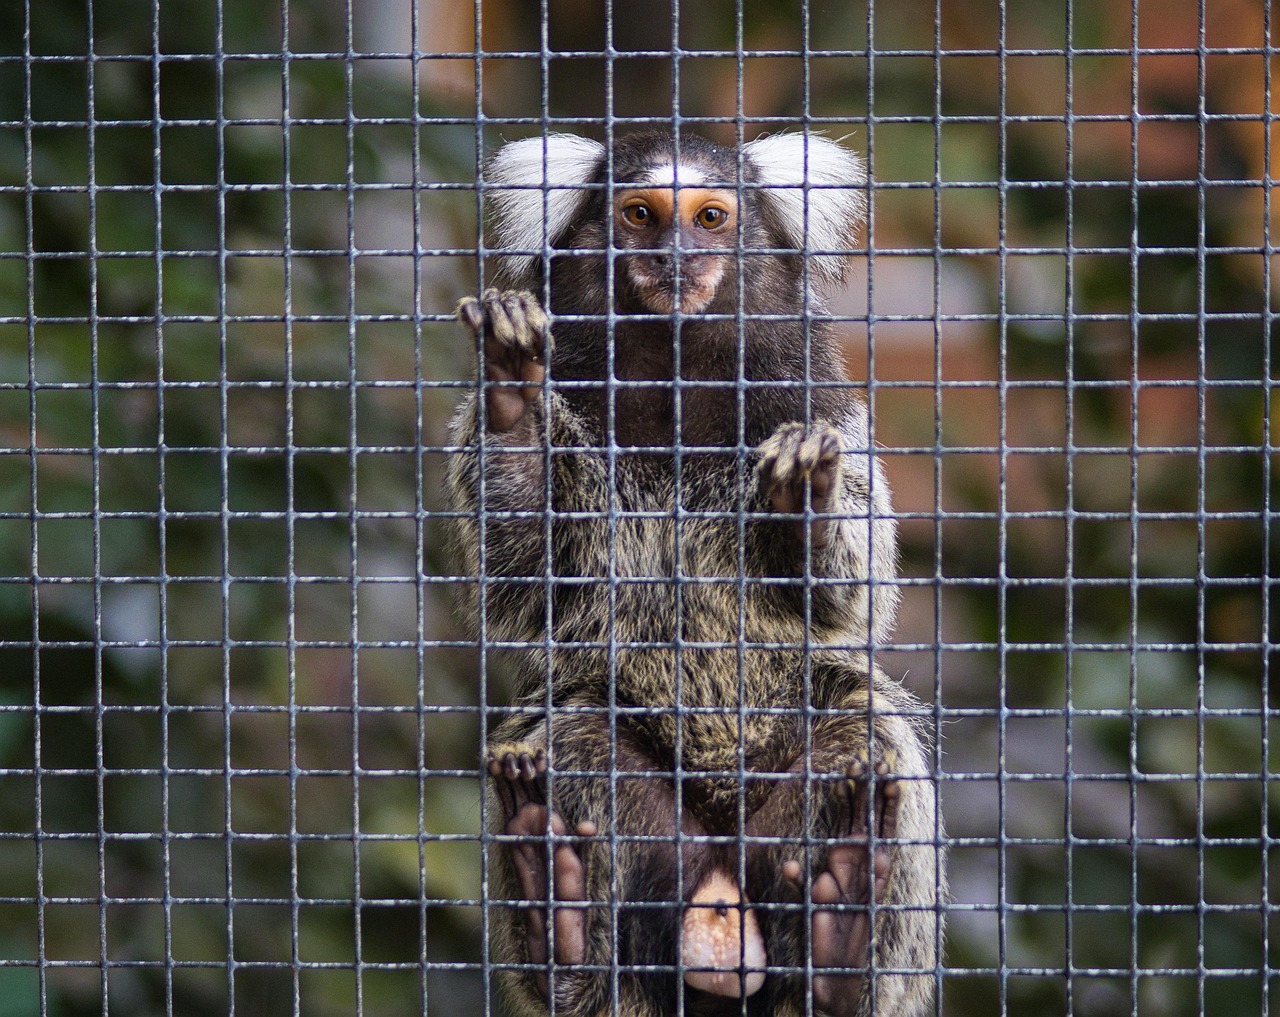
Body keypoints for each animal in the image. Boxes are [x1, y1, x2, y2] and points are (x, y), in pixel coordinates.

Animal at [447, 131, 944, 1017]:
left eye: (711, 216)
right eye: (641, 214)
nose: (676, 255)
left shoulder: (821, 403)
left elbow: (855, 594)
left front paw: (802, 496)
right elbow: (529, 580)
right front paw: (510, 396)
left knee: (864, 727)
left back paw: (844, 939)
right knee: (577, 736)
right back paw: (555, 922)